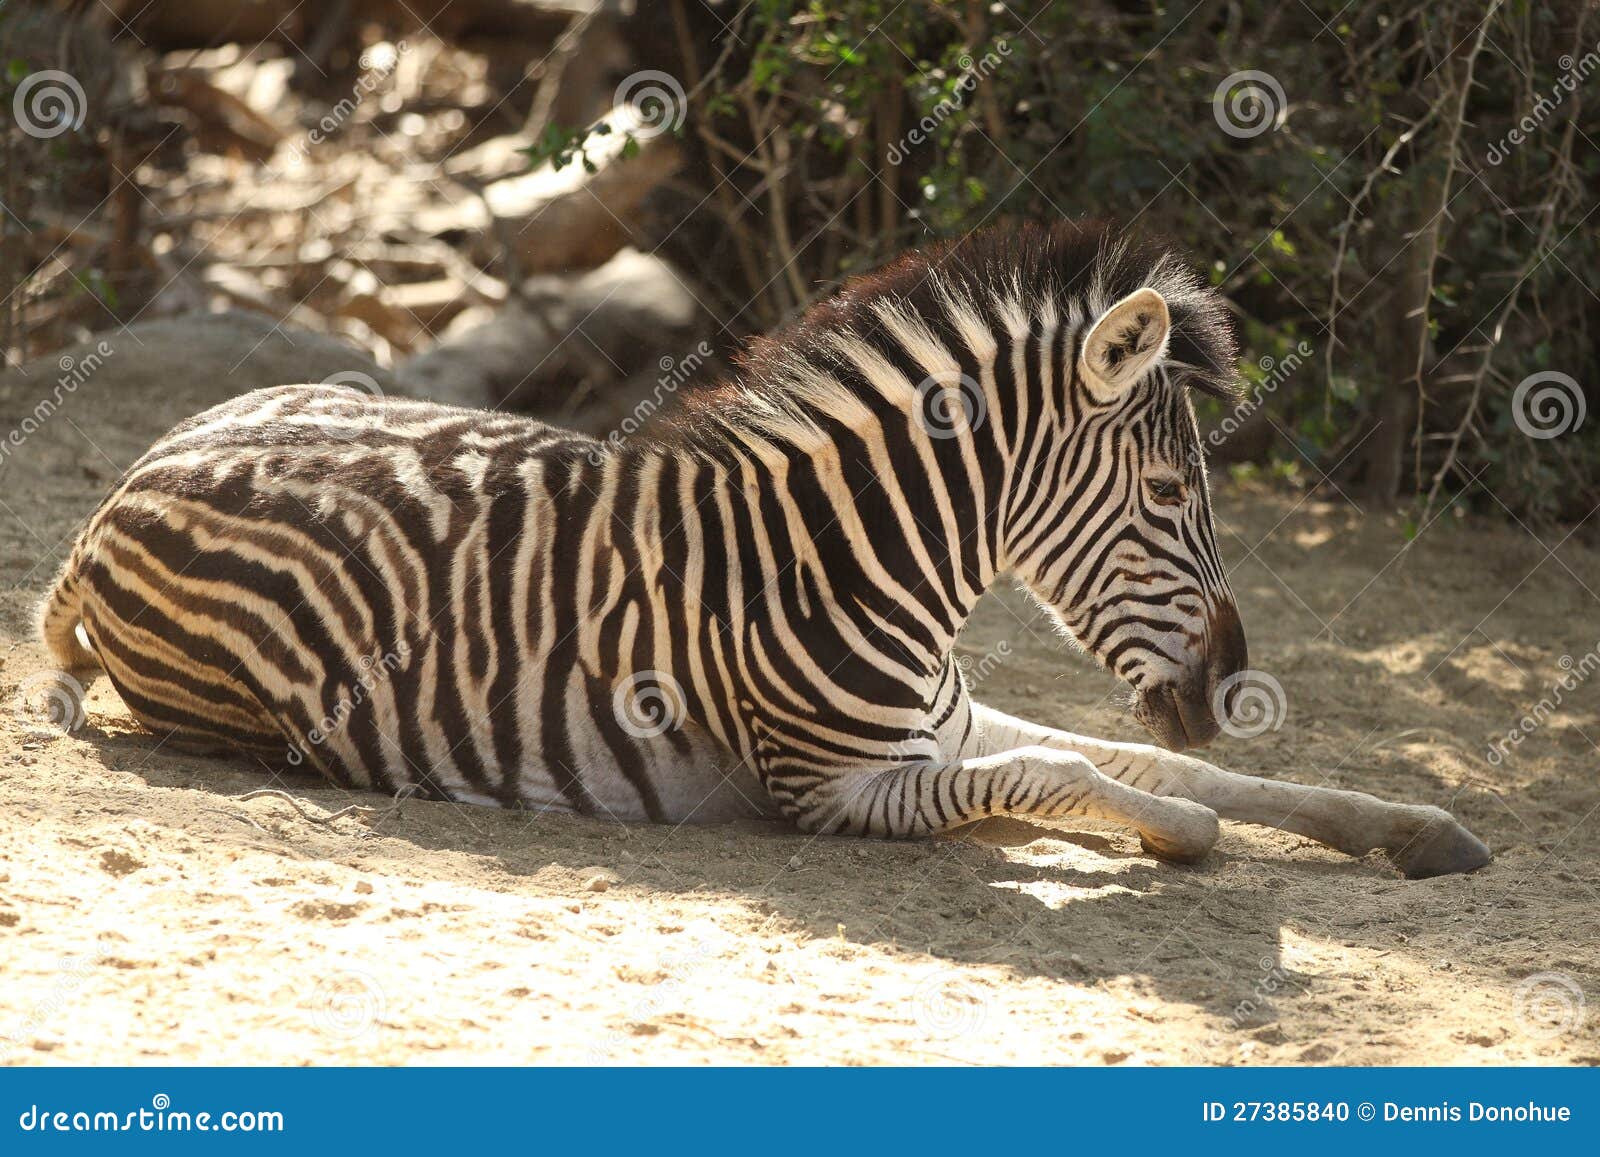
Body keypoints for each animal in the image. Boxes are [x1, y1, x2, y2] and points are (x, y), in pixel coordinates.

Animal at [37, 221, 1490, 878]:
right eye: (1171, 490)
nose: (1229, 686)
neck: (860, 560)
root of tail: (126, 485)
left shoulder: (949, 724)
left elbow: (1152, 762)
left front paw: (1413, 827)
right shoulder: (833, 789)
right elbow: (1095, 782)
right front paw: (1181, 836)